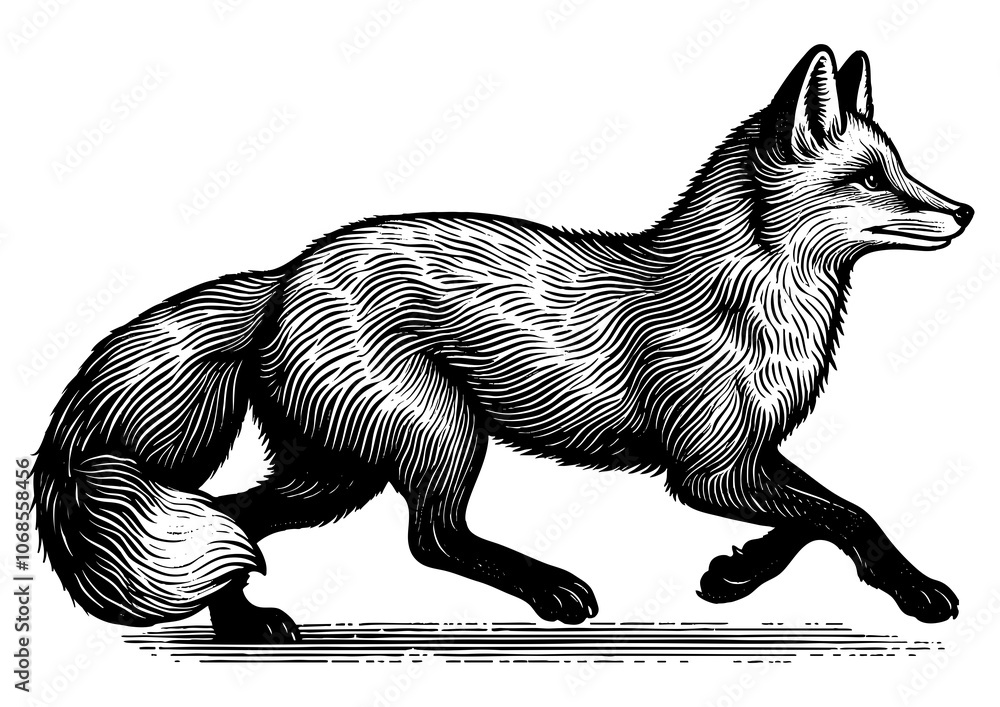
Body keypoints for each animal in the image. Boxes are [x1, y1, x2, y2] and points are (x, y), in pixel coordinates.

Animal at [34, 45, 974, 642]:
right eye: (872, 179)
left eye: (902, 167)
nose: (965, 210)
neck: (748, 300)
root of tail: (286, 272)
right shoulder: (707, 471)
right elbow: (843, 514)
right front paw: (914, 590)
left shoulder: (744, 458)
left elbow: (821, 516)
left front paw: (736, 574)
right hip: (440, 437)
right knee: (430, 538)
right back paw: (549, 588)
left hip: (335, 473)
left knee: (236, 516)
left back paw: (242, 620)